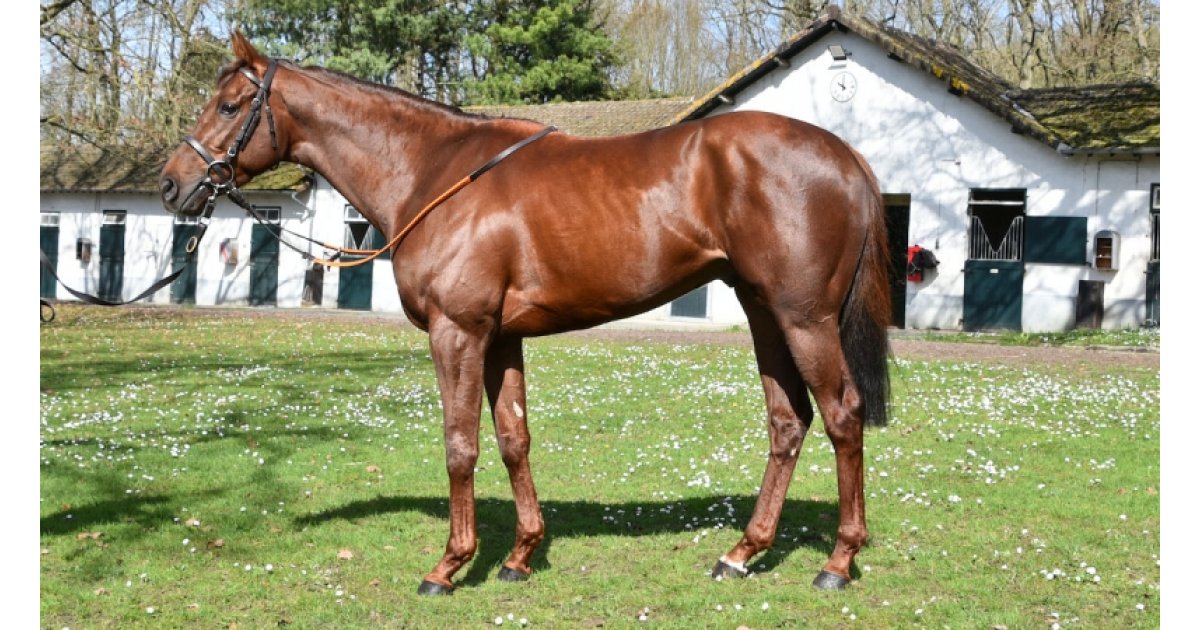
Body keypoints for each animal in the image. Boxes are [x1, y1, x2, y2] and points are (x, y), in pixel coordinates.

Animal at [160, 33, 892, 596]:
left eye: (230, 104)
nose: (173, 184)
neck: (432, 171)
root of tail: (846, 155)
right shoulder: (500, 339)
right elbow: (514, 438)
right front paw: (519, 556)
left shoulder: (458, 332)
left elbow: (460, 444)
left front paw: (450, 566)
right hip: (765, 314)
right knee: (788, 421)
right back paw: (742, 552)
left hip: (804, 320)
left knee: (842, 415)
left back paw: (837, 562)